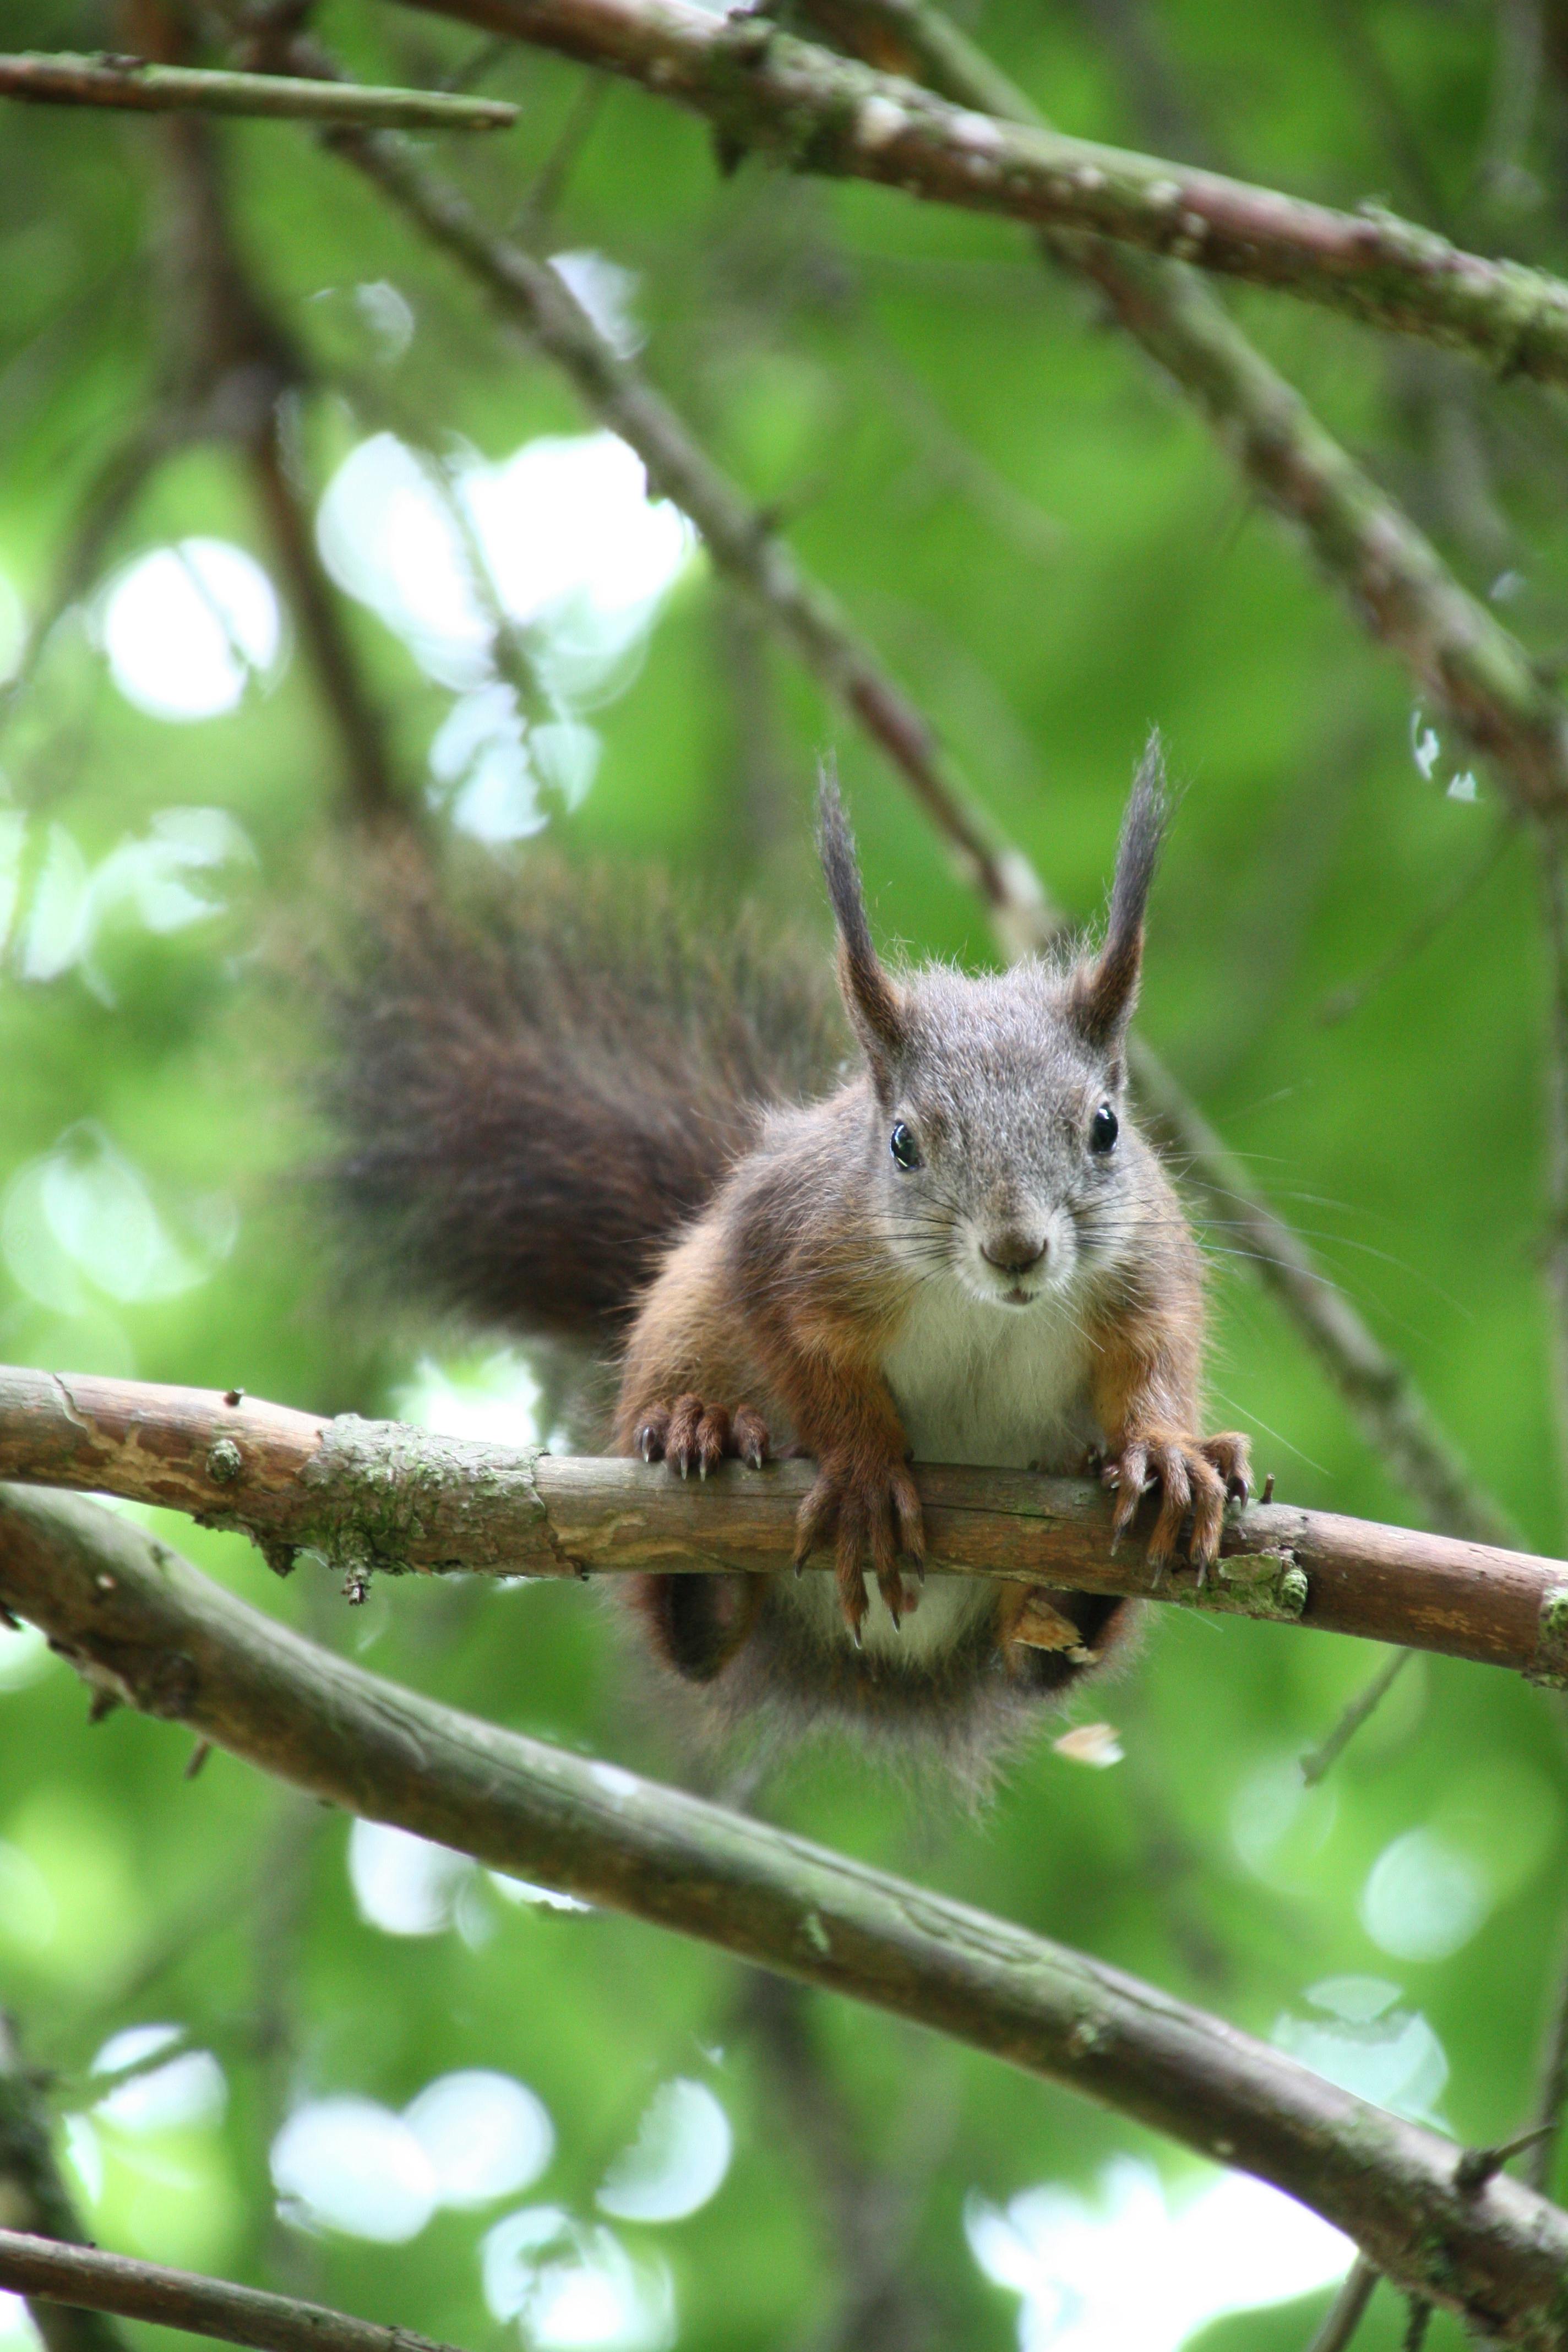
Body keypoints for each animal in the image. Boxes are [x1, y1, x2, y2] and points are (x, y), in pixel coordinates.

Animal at [324, 737, 1249, 1769]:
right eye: (901, 1142)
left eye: (1106, 1127)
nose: (1017, 1250)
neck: (975, 1304)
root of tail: (888, 1662)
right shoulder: (787, 1243)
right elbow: (810, 1364)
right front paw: (864, 1473)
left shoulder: (1147, 1269)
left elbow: (1155, 1355)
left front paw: (1165, 1449)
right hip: (681, 1327)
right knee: (691, 1629)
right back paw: (702, 1447)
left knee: (1039, 1650)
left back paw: (1083, 1567)